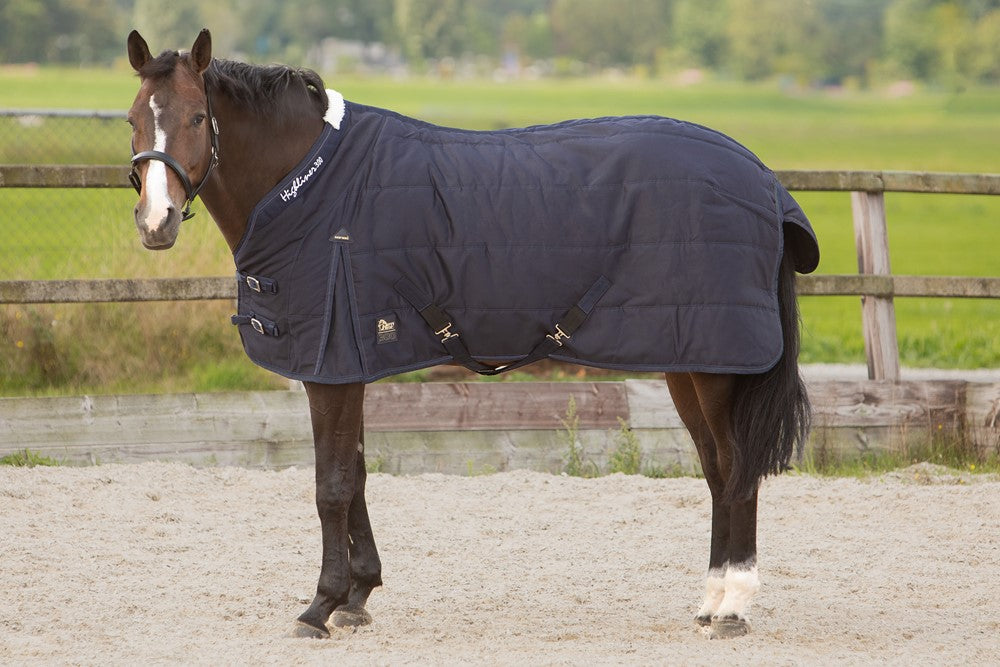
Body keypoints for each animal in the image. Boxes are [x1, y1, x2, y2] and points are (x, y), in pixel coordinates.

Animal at [126, 29, 818, 640]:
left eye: (196, 118)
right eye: (133, 119)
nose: (156, 222)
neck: (316, 185)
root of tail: (763, 181)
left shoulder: (332, 368)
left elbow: (332, 485)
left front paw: (321, 605)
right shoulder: (350, 363)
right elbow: (359, 474)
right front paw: (358, 595)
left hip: (718, 367)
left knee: (736, 472)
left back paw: (733, 607)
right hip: (688, 361)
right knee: (718, 471)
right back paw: (710, 604)